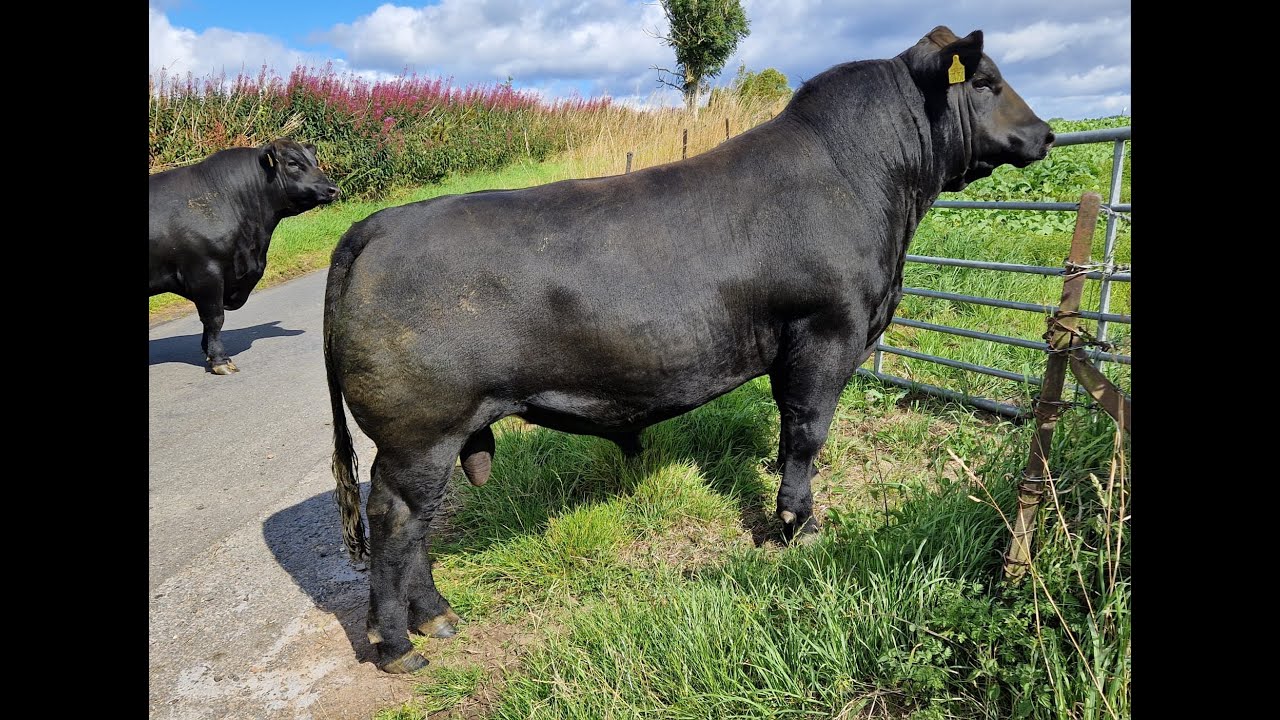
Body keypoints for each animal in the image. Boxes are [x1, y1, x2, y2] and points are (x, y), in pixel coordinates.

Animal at [149, 138, 339, 374]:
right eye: (293, 163)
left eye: (314, 161)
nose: (333, 189)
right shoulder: (205, 272)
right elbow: (214, 318)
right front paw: (220, 360)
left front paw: (208, 352)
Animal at [322, 26, 1054, 673]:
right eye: (985, 82)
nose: (1047, 132)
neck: (872, 185)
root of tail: (377, 224)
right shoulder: (829, 330)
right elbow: (808, 432)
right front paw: (800, 525)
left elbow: (787, 430)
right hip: (421, 431)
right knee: (395, 521)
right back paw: (399, 644)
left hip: (429, 436)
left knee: (413, 526)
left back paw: (438, 617)